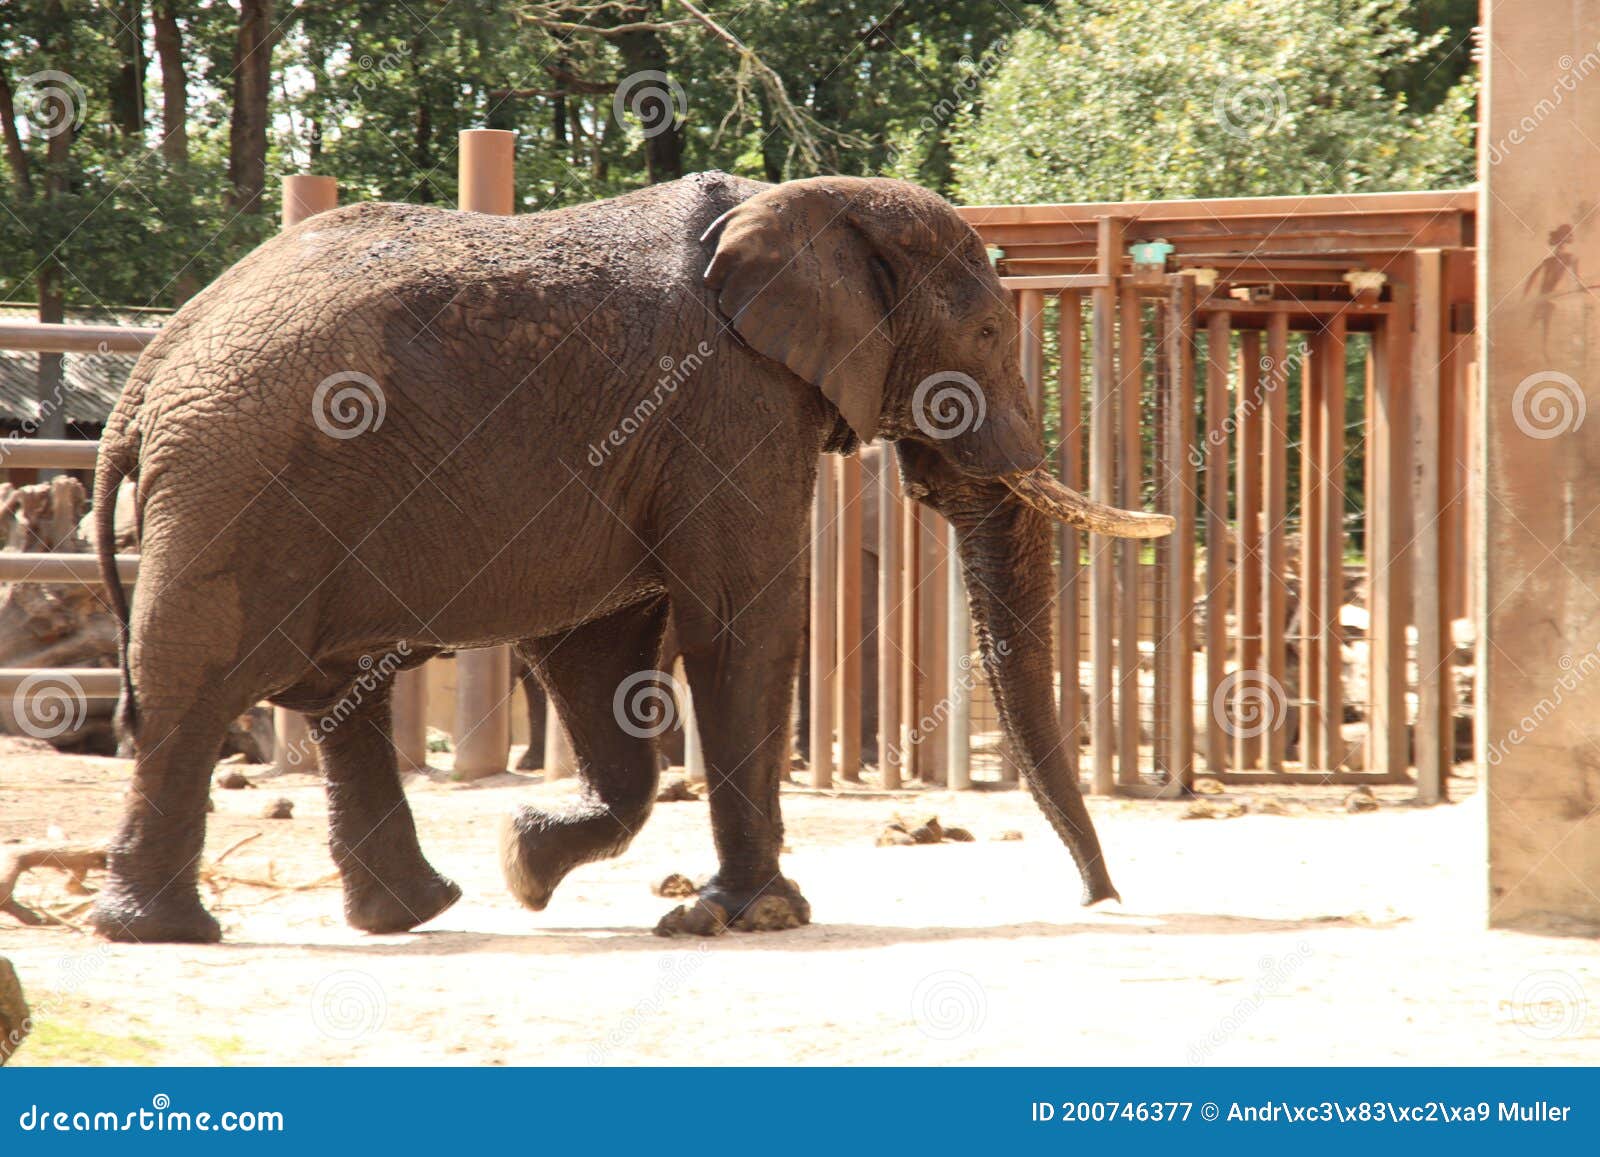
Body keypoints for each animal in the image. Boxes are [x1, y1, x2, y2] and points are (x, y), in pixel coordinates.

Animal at [88, 171, 1171, 944]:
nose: (1103, 899)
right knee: (199, 688)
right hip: (238, 485)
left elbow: (597, 649)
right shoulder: (731, 398)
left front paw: (526, 862)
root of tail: (148, 368)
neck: (810, 200)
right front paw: (756, 913)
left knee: (339, 693)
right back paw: (165, 932)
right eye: (986, 331)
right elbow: (742, 617)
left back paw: (415, 910)